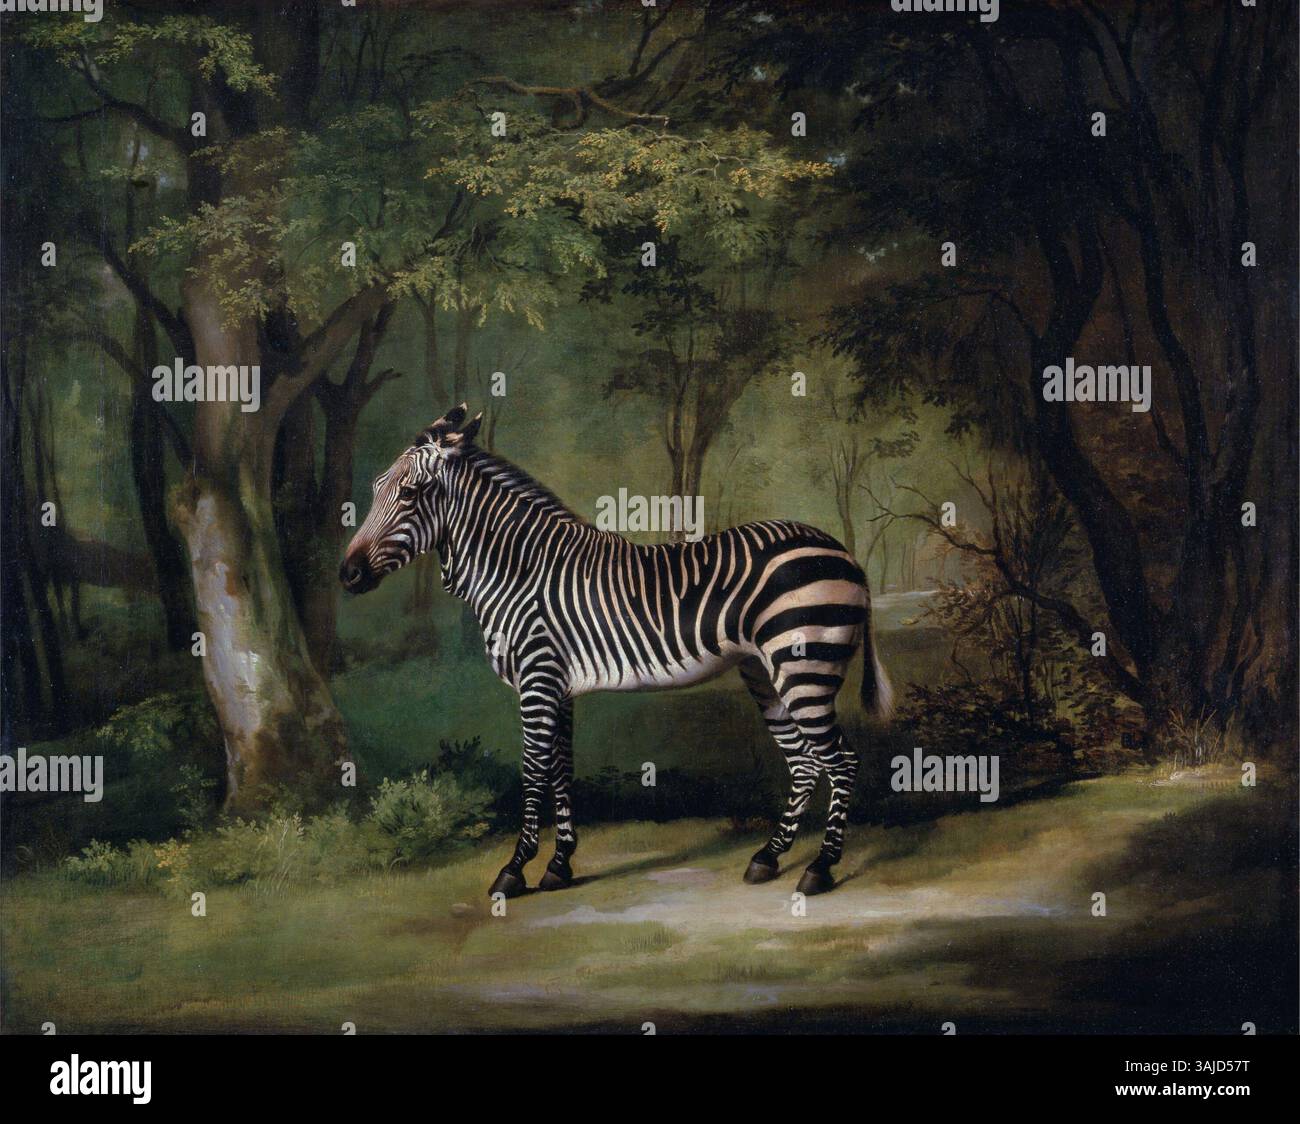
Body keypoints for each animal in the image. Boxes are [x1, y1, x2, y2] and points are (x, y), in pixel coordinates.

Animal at [340, 405, 893, 899]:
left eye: (411, 493)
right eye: (375, 490)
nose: (347, 574)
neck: (517, 570)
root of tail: (844, 552)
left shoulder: (537, 679)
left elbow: (533, 773)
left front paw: (514, 871)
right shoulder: (558, 686)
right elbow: (561, 771)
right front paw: (559, 866)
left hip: (804, 666)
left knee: (841, 761)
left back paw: (820, 868)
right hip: (765, 672)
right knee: (804, 763)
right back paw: (768, 858)